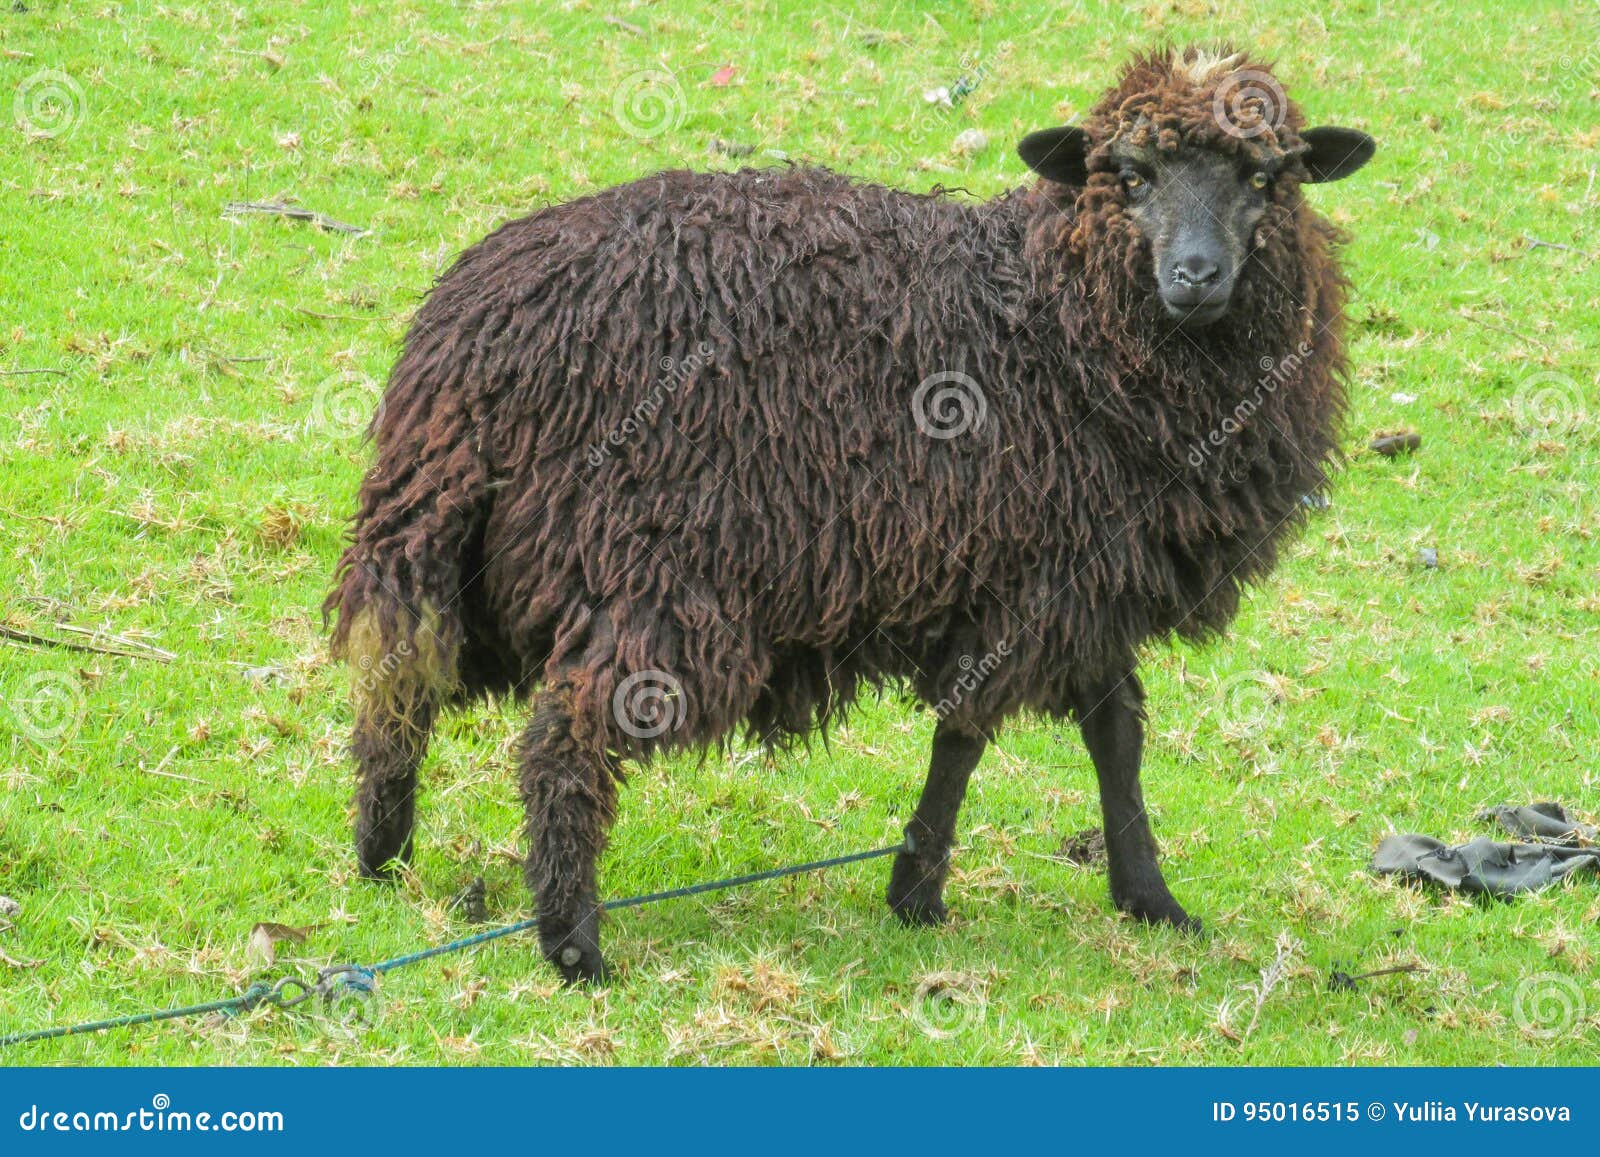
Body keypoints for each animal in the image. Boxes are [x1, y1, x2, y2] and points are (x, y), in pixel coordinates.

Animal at [328, 44, 1375, 982]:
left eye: (1263, 176)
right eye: (1129, 175)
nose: (1197, 274)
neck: (1057, 315)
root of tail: (475, 339)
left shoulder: (1086, 573)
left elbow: (1113, 730)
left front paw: (1150, 900)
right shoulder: (1031, 575)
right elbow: (971, 734)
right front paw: (919, 891)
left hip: (441, 535)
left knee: (398, 683)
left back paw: (385, 856)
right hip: (642, 563)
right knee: (562, 740)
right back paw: (574, 946)